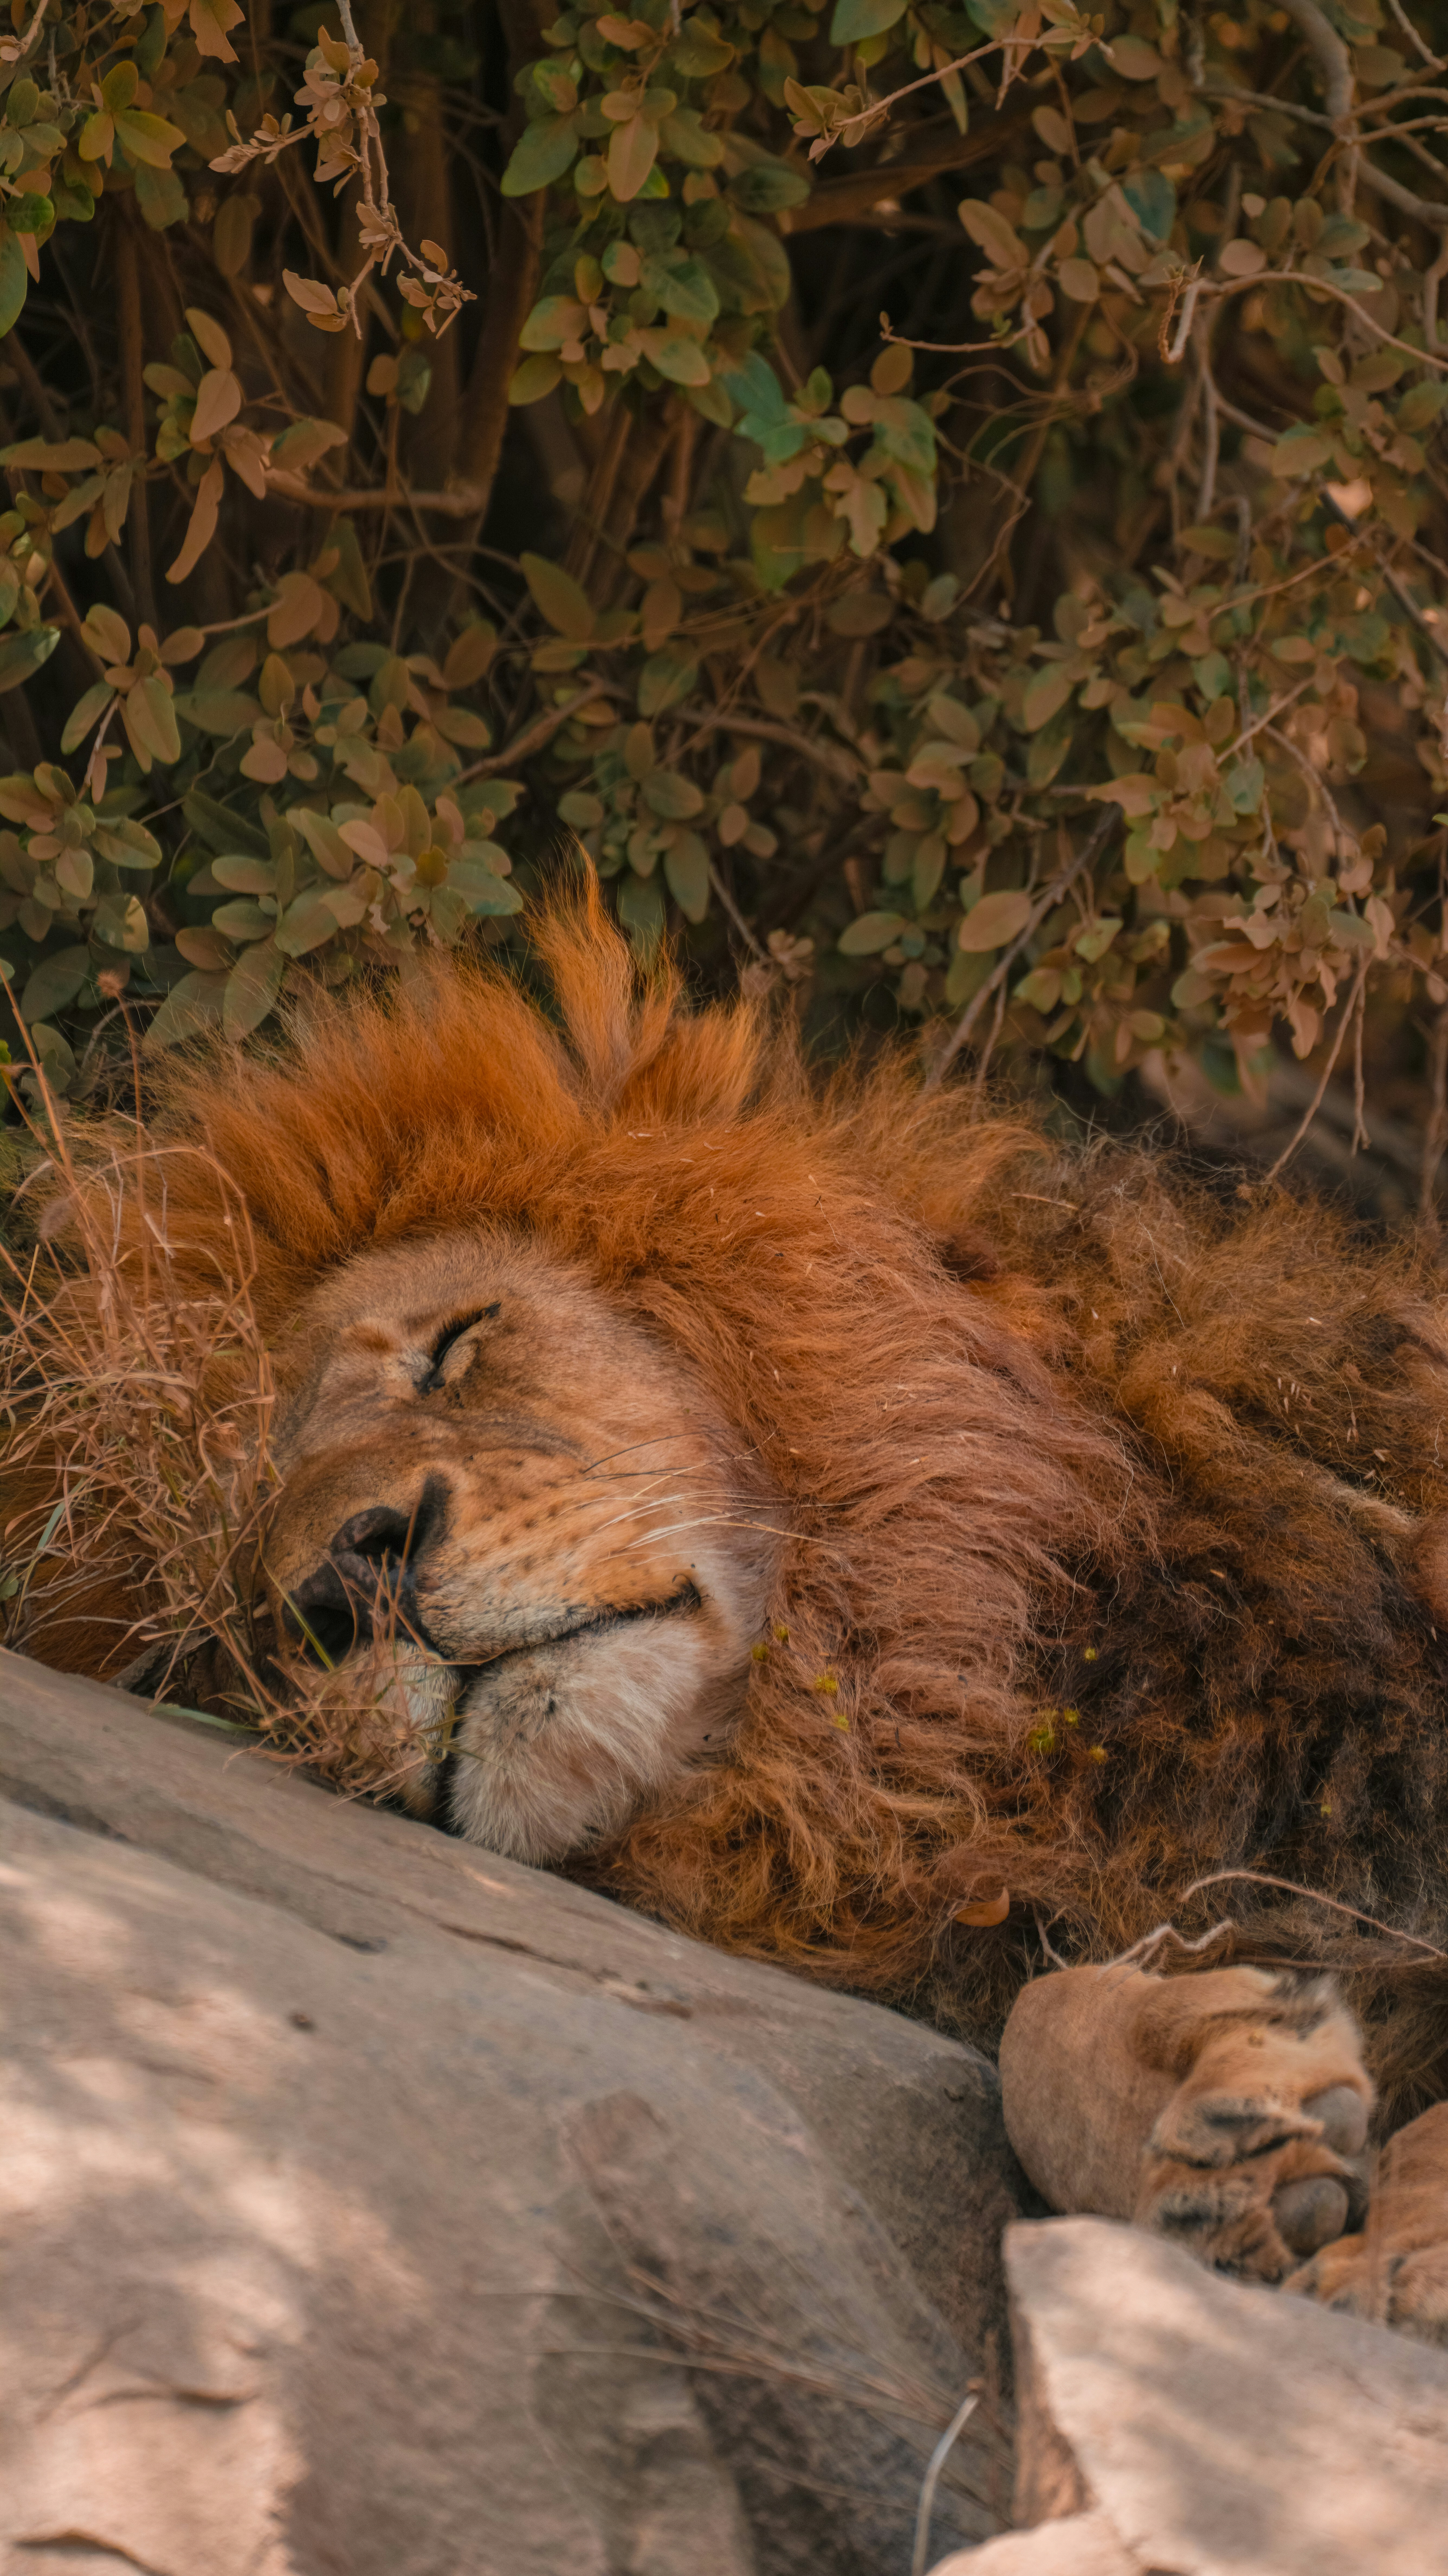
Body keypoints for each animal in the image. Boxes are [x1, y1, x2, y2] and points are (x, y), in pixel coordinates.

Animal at [7, 895, 1448, 2340]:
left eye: (454, 1346)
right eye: (228, 1601)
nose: (347, 1579)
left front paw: (1400, 2249)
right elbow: (1043, 2014)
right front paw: (1234, 2135)